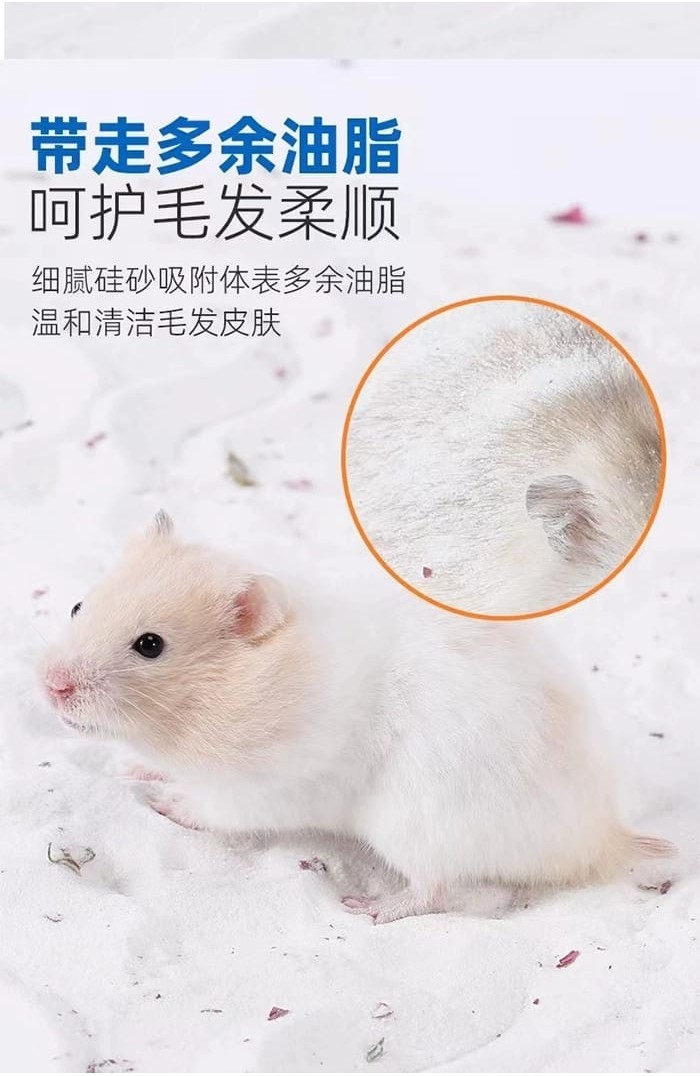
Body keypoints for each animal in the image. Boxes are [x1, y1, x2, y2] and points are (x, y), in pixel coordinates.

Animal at [40, 512, 673, 923]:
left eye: (150, 645)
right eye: (77, 605)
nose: (51, 688)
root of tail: (598, 841)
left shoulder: (261, 792)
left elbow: (205, 809)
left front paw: (162, 800)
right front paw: (135, 772)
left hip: (415, 827)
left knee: (442, 893)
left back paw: (364, 906)